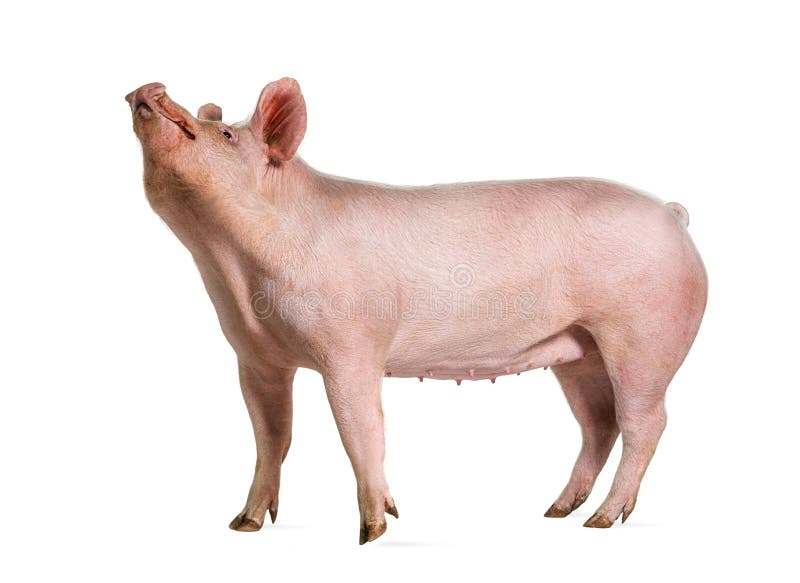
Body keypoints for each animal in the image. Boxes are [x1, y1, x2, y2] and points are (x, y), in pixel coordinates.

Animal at [125, 78, 707, 544]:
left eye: (224, 136)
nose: (149, 89)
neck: (232, 268)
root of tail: (672, 215)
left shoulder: (353, 347)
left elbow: (361, 431)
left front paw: (372, 533)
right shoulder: (255, 356)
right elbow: (271, 438)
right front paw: (242, 525)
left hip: (645, 334)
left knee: (646, 422)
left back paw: (602, 521)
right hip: (580, 353)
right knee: (600, 424)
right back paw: (557, 512)